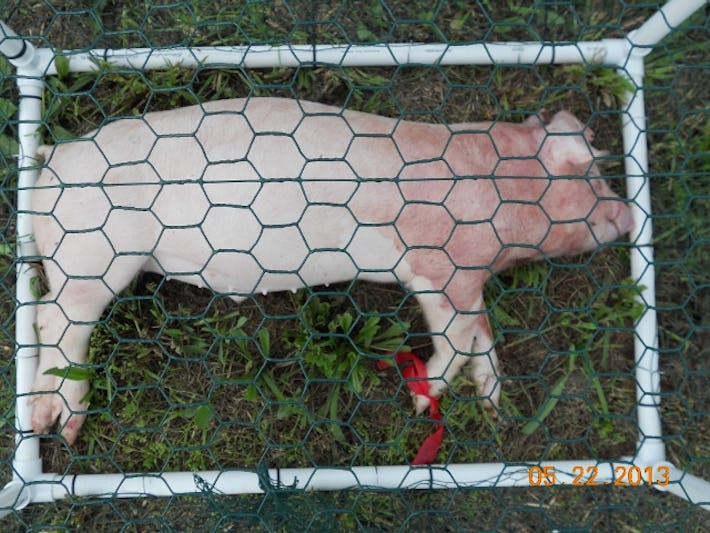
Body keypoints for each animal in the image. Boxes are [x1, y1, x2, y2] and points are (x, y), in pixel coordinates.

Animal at [30, 97, 633, 444]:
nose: (628, 213)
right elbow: (460, 334)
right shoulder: (440, 265)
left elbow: (484, 334)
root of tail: (51, 162)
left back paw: (42, 421)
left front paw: (492, 409)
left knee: (44, 321)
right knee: (58, 324)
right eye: (592, 175)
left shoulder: (468, 278)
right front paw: (420, 400)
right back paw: (64, 428)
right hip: (94, 258)